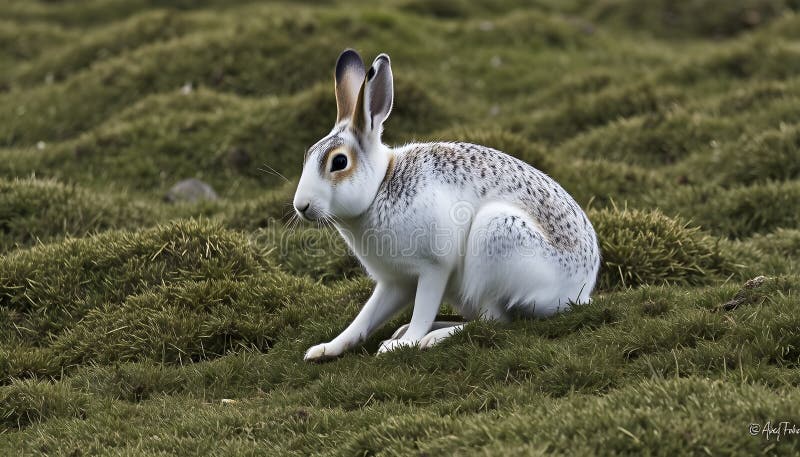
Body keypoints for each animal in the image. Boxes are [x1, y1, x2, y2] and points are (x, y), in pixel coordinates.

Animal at [294, 49, 600, 361]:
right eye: (308, 155)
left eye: (339, 162)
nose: (301, 205)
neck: (380, 186)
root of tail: (577, 291)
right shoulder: (396, 281)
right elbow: (365, 318)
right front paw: (325, 349)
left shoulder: (434, 268)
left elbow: (423, 310)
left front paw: (402, 345)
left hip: (494, 242)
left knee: (495, 321)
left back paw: (432, 337)